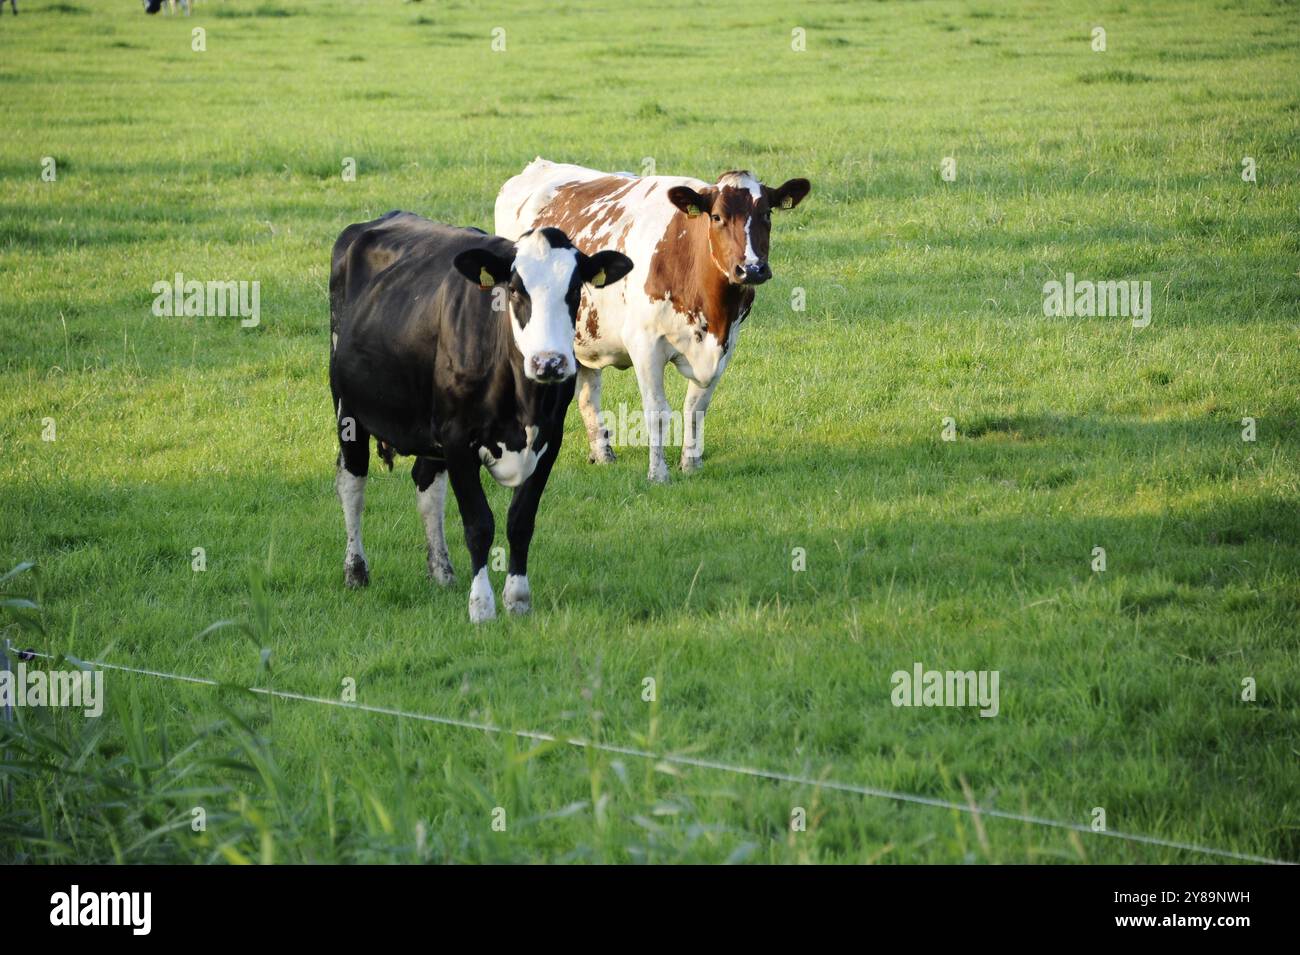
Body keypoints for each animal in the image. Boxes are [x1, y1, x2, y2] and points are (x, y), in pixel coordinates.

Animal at [329, 212, 633, 622]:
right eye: (516, 290)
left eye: (575, 291)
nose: (549, 362)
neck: (524, 400)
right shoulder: (458, 438)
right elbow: (478, 524)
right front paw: (482, 606)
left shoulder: (549, 438)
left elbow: (521, 521)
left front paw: (518, 599)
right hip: (348, 408)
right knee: (352, 483)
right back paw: (356, 571)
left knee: (427, 485)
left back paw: (442, 572)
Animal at [495, 159, 810, 483]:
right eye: (717, 216)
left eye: (766, 214)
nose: (752, 269)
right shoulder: (644, 344)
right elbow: (657, 411)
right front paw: (658, 474)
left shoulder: (726, 344)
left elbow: (696, 407)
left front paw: (691, 465)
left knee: (588, 395)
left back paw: (602, 453)